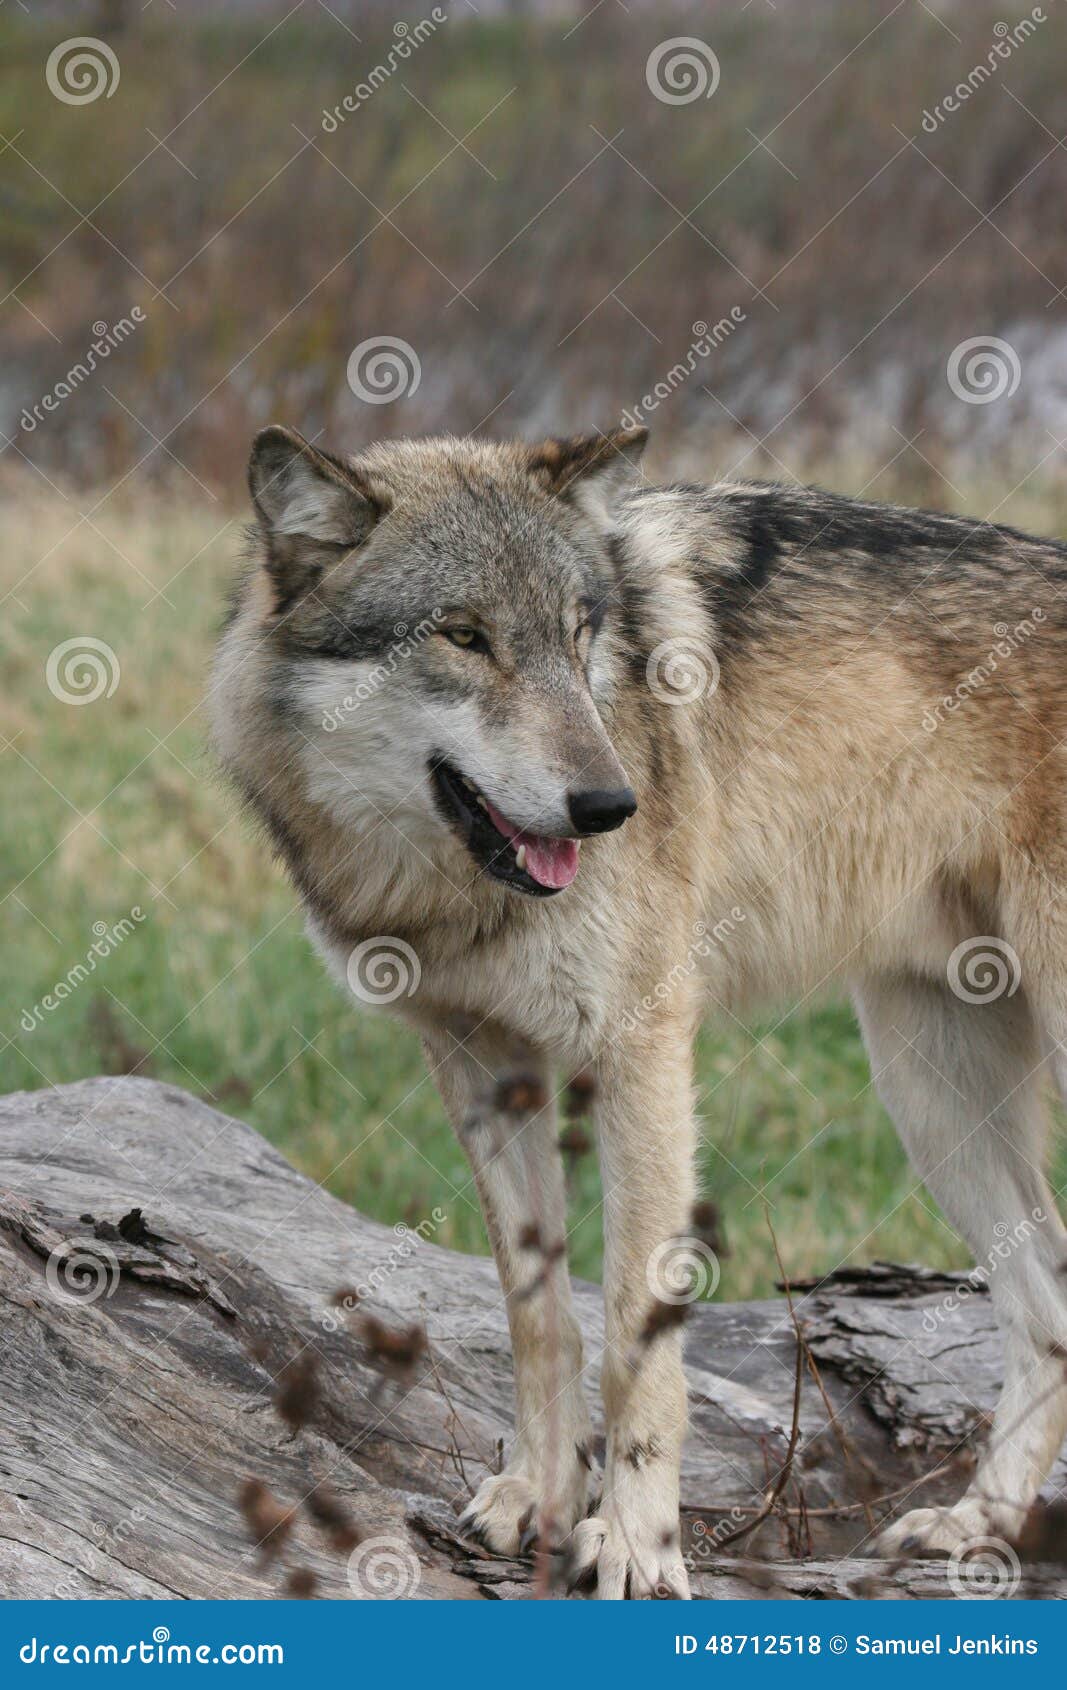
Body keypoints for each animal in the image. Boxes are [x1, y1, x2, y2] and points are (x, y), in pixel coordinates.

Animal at [213, 421, 1067, 1598]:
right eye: (465, 637)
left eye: (581, 636)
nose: (610, 805)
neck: (445, 893)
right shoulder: (480, 1062)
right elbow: (538, 1317)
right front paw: (538, 1496)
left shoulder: (643, 1055)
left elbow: (631, 1335)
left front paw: (631, 1541)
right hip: (929, 1091)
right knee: (1047, 1306)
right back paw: (971, 1525)